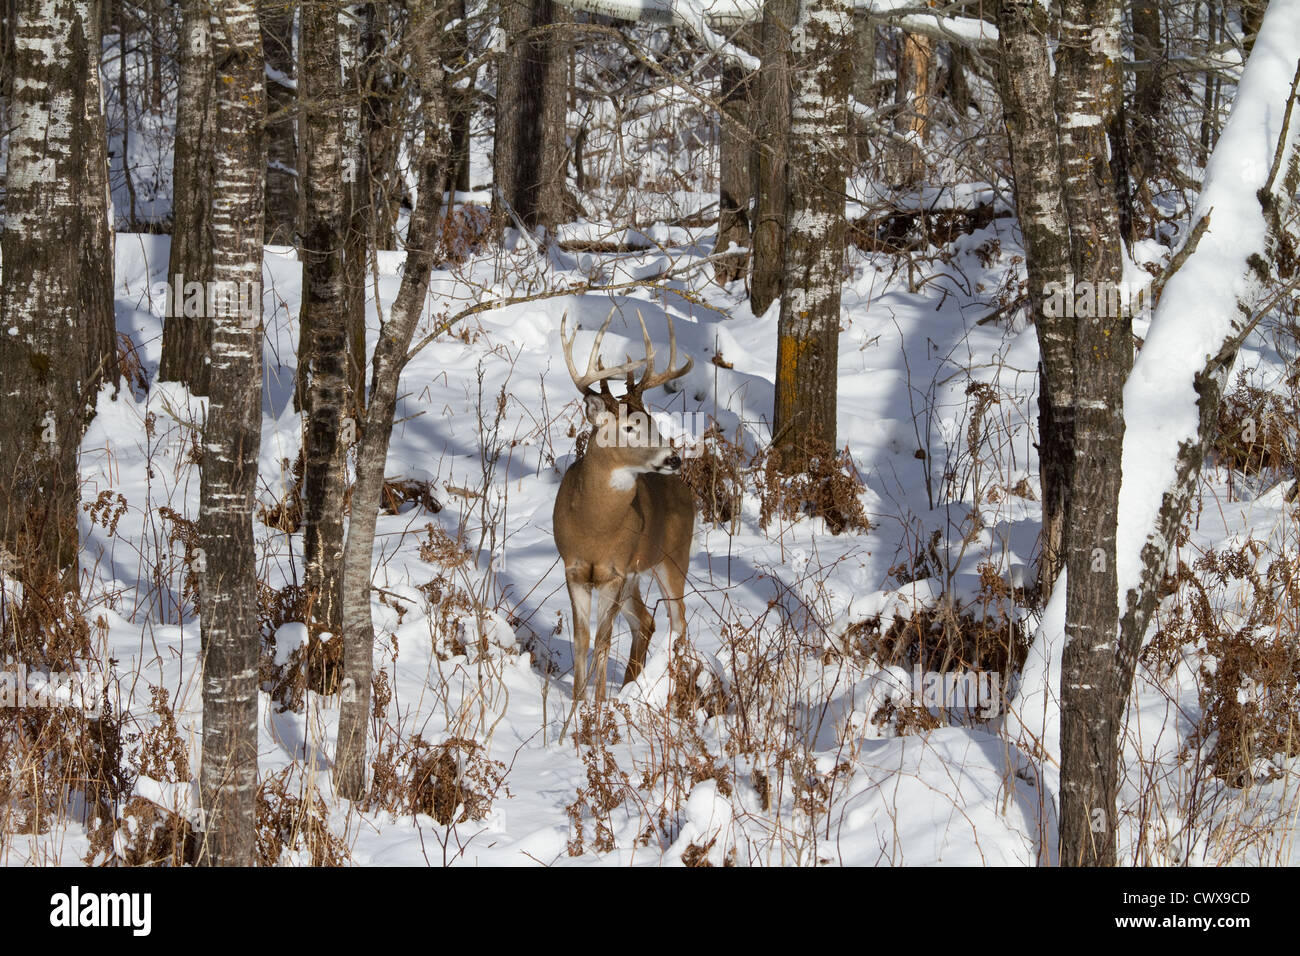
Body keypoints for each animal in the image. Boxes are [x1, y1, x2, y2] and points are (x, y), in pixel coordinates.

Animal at [553, 310, 695, 704]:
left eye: (654, 422)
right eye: (631, 427)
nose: (674, 457)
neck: (594, 527)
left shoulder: (615, 572)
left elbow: (602, 642)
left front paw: (597, 707)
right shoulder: (575, 569)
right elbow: (582, 640)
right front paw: (577, 704)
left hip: (673, 558)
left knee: (678, 621)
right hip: (636, 575)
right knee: (646, 620)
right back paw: (633, 683)